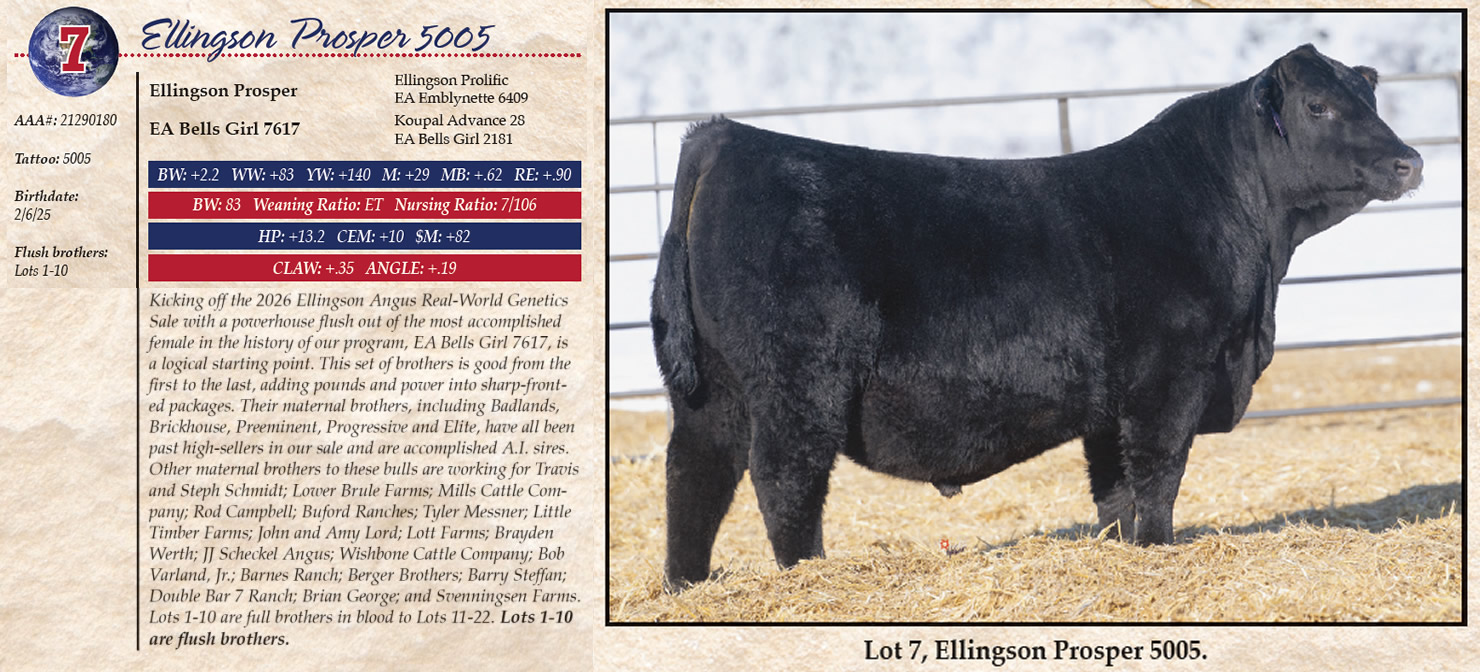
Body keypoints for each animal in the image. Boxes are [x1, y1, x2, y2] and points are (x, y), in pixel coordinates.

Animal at [649, 44, 1423, 591]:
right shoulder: (1169, 378)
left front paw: (1123, 551)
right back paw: (809, 575)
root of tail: (728, 138)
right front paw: (1159, 550)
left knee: (695, 473)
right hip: (797, 380)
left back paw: (688, 586)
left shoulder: (1112, 402)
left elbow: (1115, 490)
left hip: (713, 388)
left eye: (1369, 97)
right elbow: (1158, 474)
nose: (1409, 161)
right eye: (1319, 106)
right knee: (784, 477)